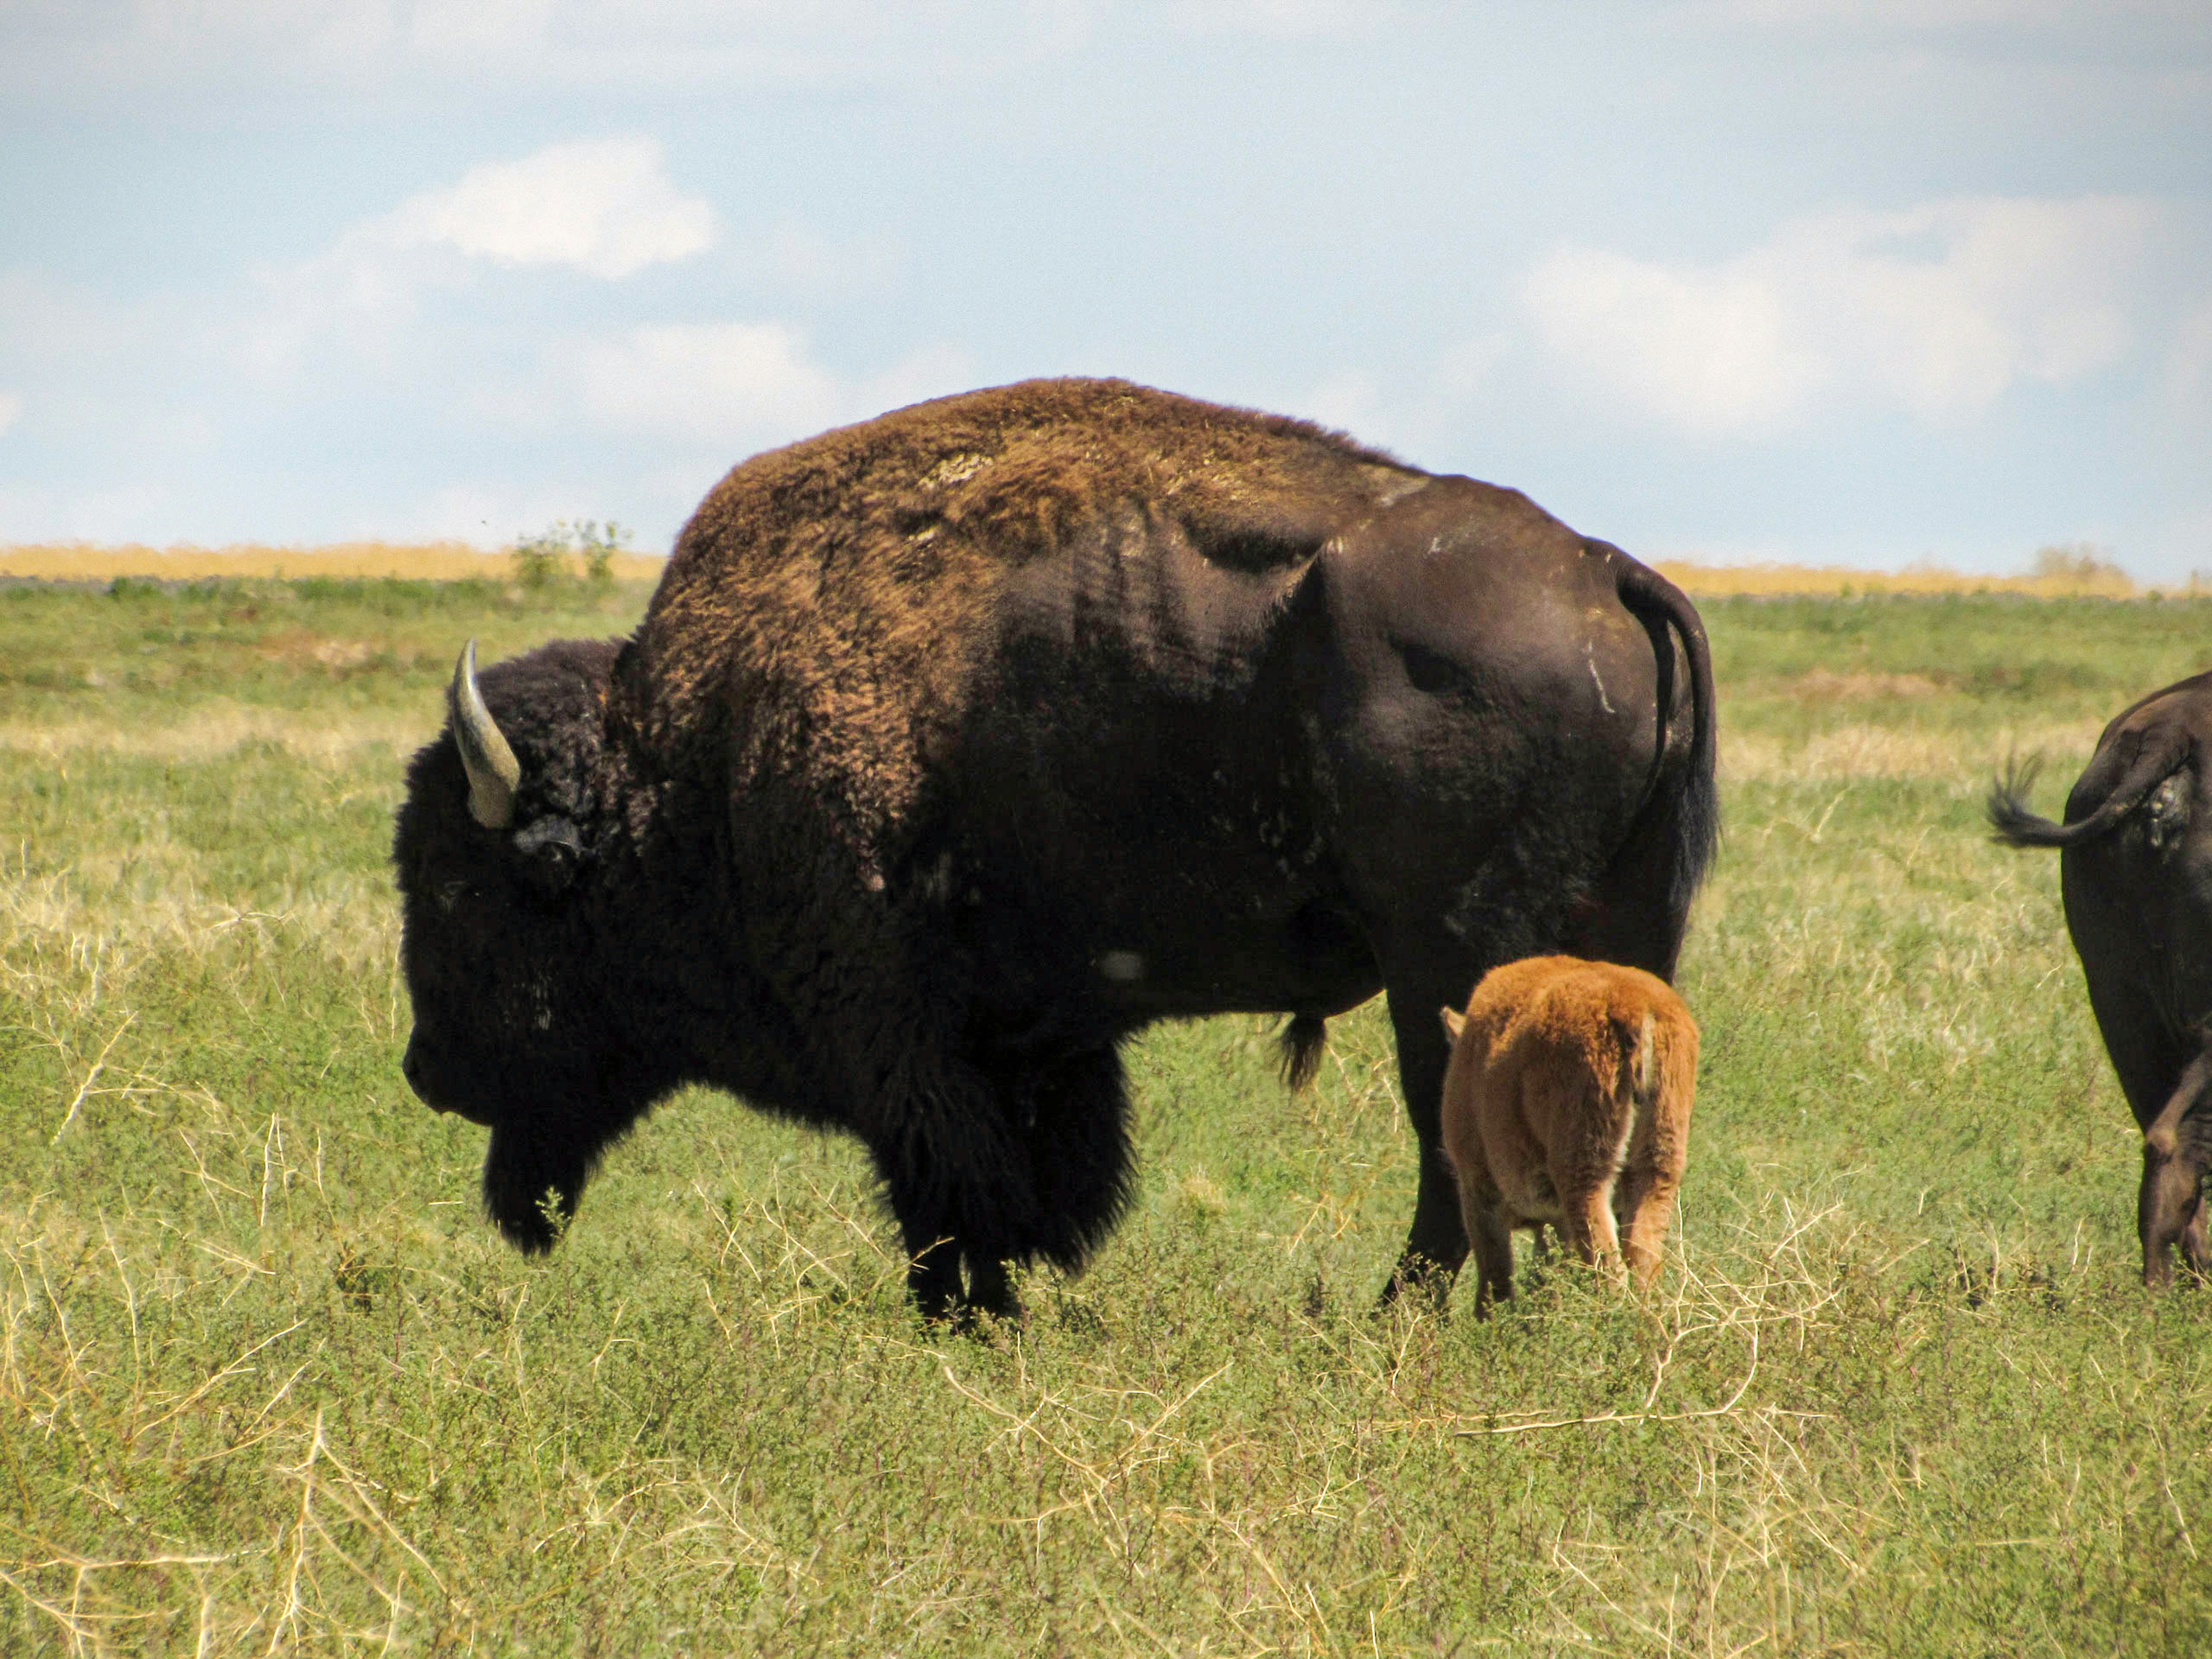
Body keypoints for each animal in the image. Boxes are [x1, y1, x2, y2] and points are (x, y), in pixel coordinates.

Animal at [394, 378, 1718, 1321]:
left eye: (463, 890)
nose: (426, 1071)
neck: (696, 753)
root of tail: (1603, 569)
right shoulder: (1038, 1036)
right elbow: (1037, 1174)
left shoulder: (902, 1025)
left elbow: (948, 1172)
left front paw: (963, 1308)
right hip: (1625, 939)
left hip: (1448, 954)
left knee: (1448, 1124)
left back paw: (1404, 1309)